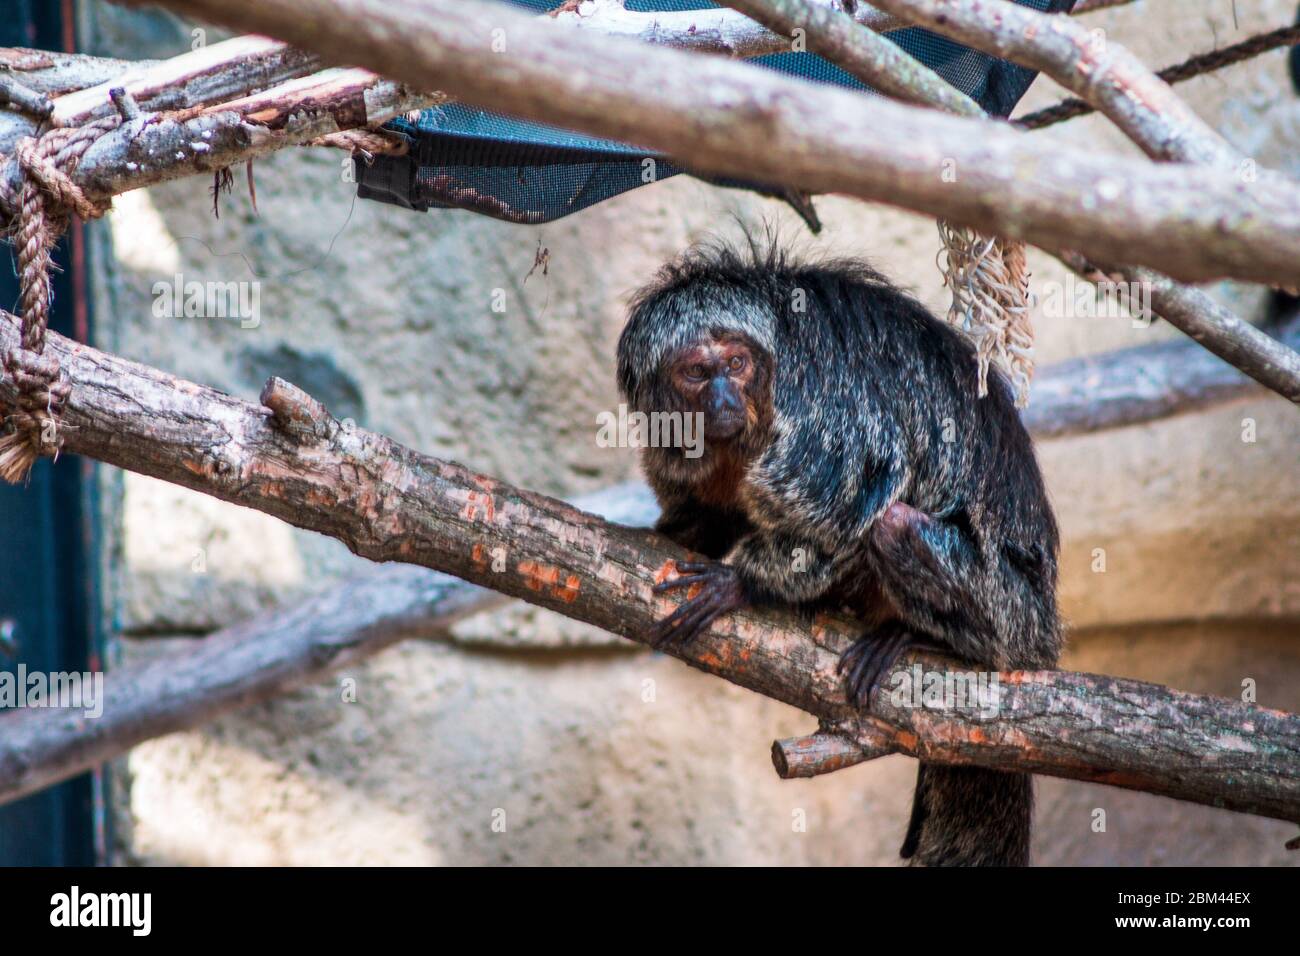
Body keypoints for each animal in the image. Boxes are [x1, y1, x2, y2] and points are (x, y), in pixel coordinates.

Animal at [616, 238, 1061, 867]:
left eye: (736, 365)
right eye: (698, 372)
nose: (723, 399)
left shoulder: (819, 395)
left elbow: (854, 500)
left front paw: (741, 584)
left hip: (1013, 616)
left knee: (892, 524)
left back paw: (917, 636)